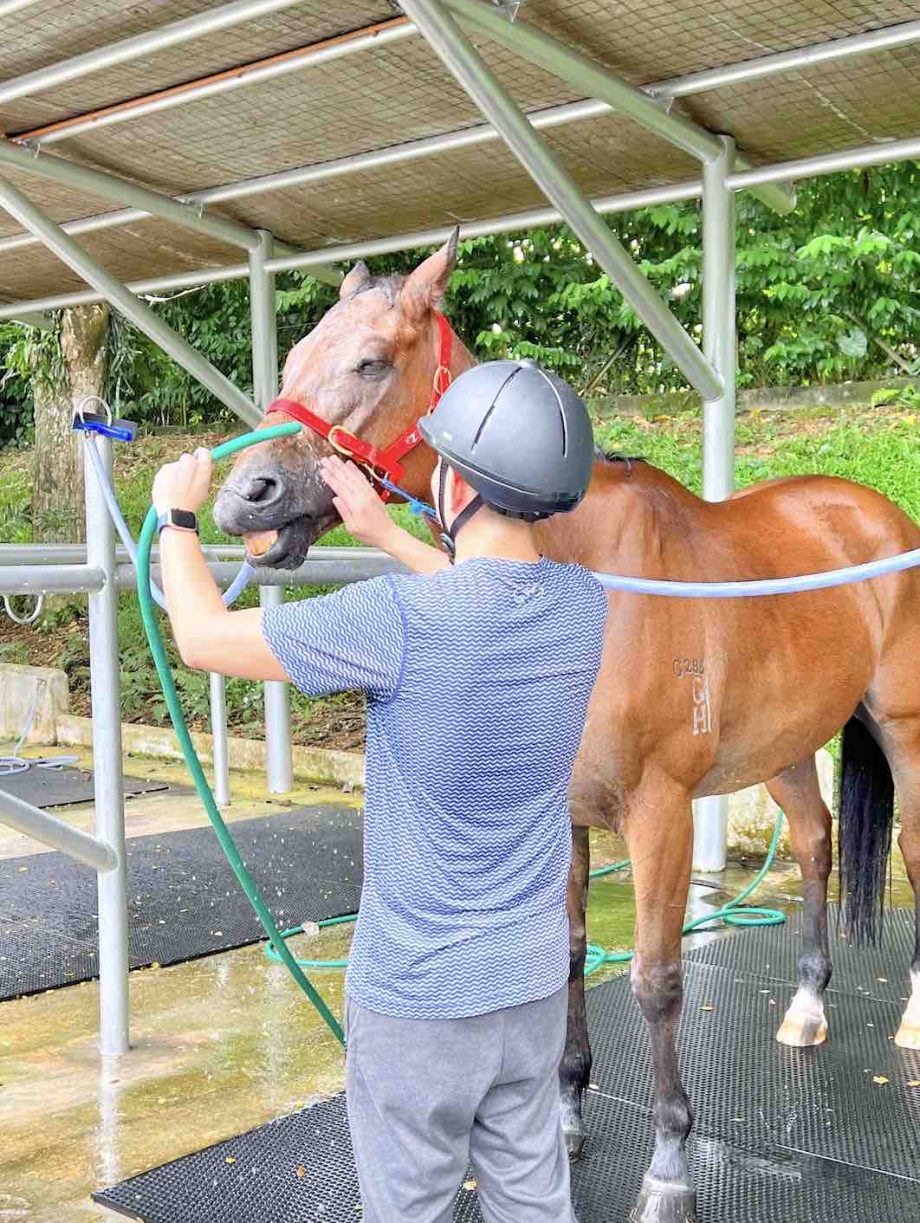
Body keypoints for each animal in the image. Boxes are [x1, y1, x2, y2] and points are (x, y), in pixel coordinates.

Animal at [213, 235, 920, 1223]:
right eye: (292, 363)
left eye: (371, 361)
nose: (248, 496)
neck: (581, 570)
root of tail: (873, 512)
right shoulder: (564, 813)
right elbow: (573, 953)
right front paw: (567, 1114)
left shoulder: (658, 815)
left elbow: (656, 981)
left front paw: (669, 1167)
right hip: (782, 744)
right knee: (817, 842)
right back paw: (808, 1006)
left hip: (905, 734)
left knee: (911, 849)